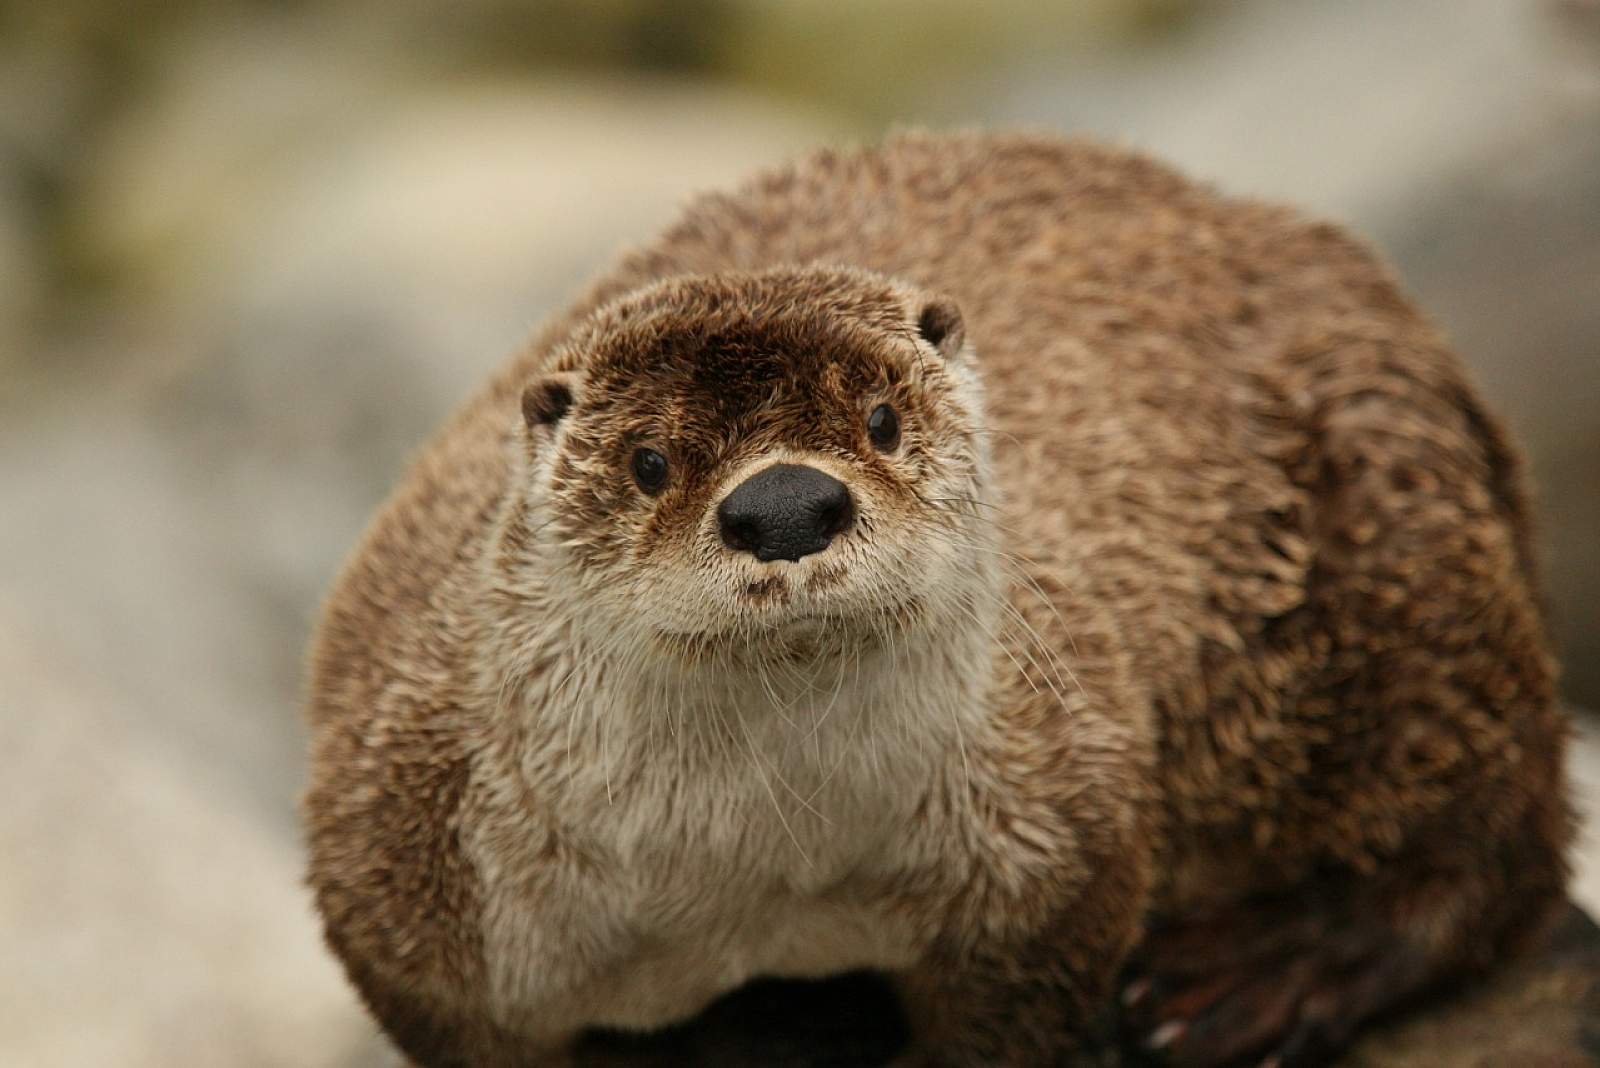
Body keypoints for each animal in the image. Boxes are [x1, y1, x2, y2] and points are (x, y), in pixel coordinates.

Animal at [303, 132, 1572, 1067]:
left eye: (880, 421)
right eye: (650, 461)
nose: (784, 504)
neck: (746, 880)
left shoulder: (1057, 831)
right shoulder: (403, 886)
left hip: (1388, 533)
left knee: (1494, 839)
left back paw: (1251, 980)